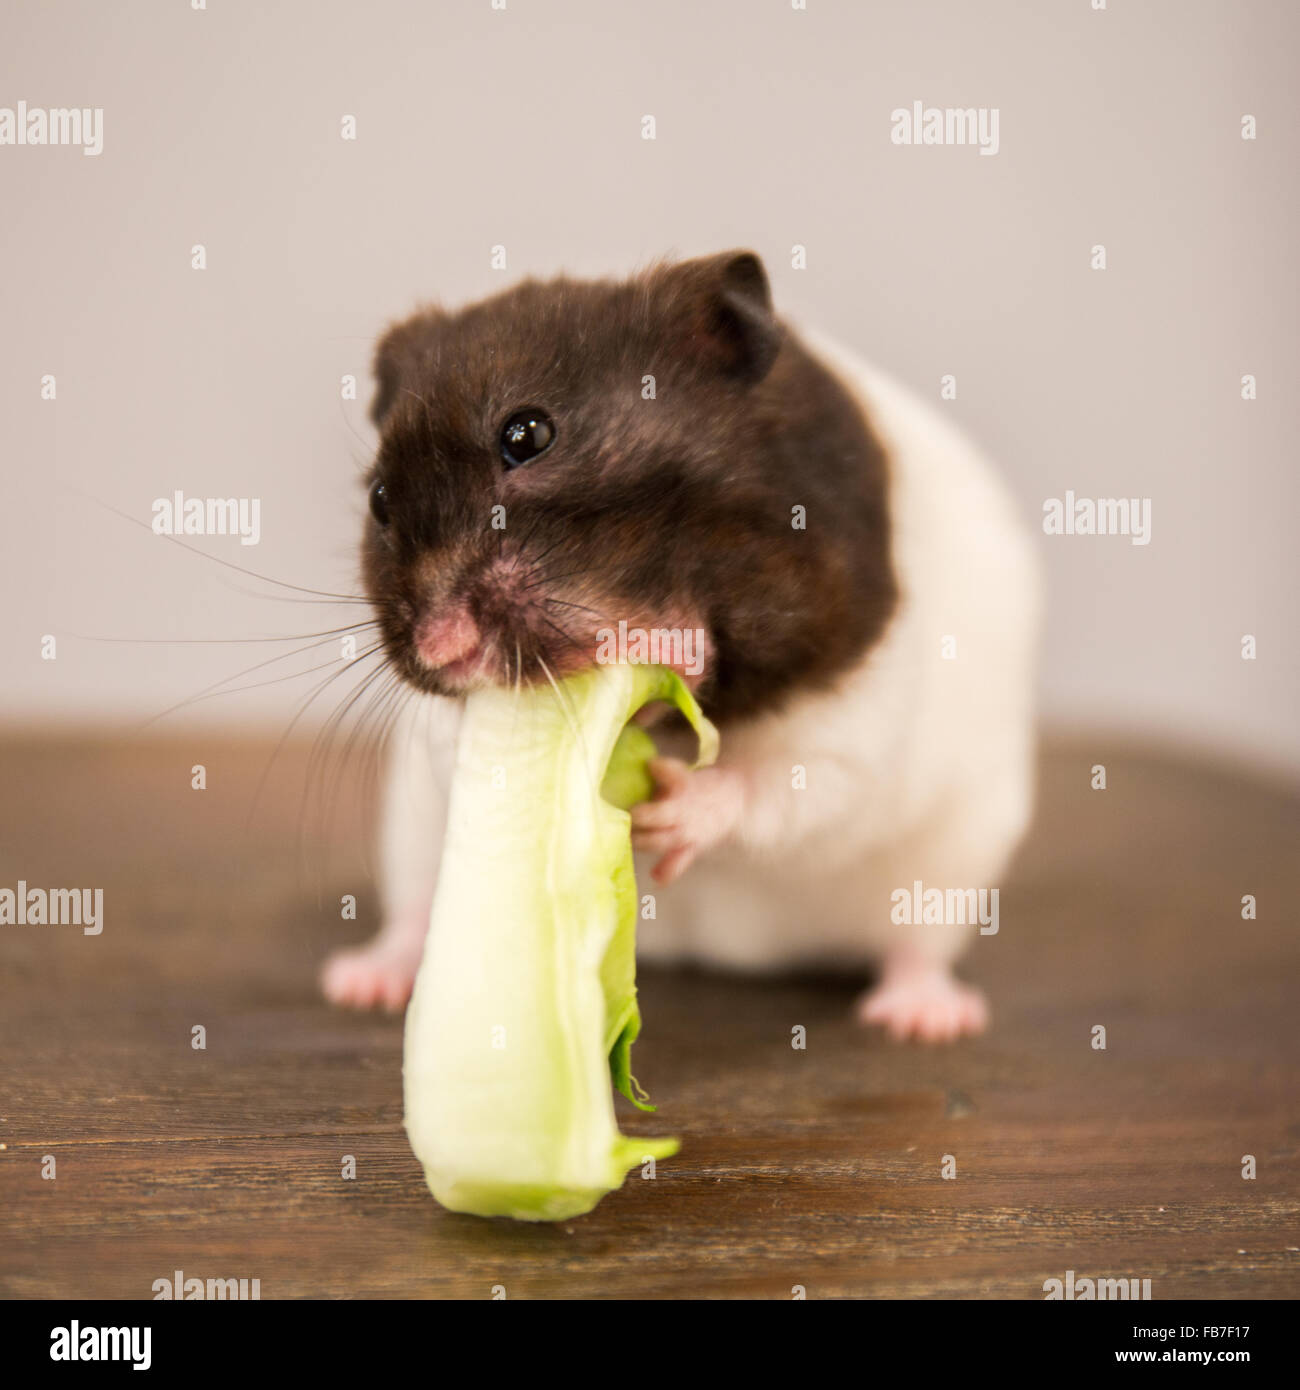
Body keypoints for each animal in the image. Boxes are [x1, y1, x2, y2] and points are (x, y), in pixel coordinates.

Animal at [321, 250, 1040, 1042]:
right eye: (380, 500)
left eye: (528, 435)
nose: (442, 647)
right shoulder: (438, 743)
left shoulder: (859, 716)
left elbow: (789, 785)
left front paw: (667, 816)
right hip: (413, 836)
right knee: (414, 913)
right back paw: (361, 982)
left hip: (956, 857)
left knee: (917, 943)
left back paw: (924, 1018)